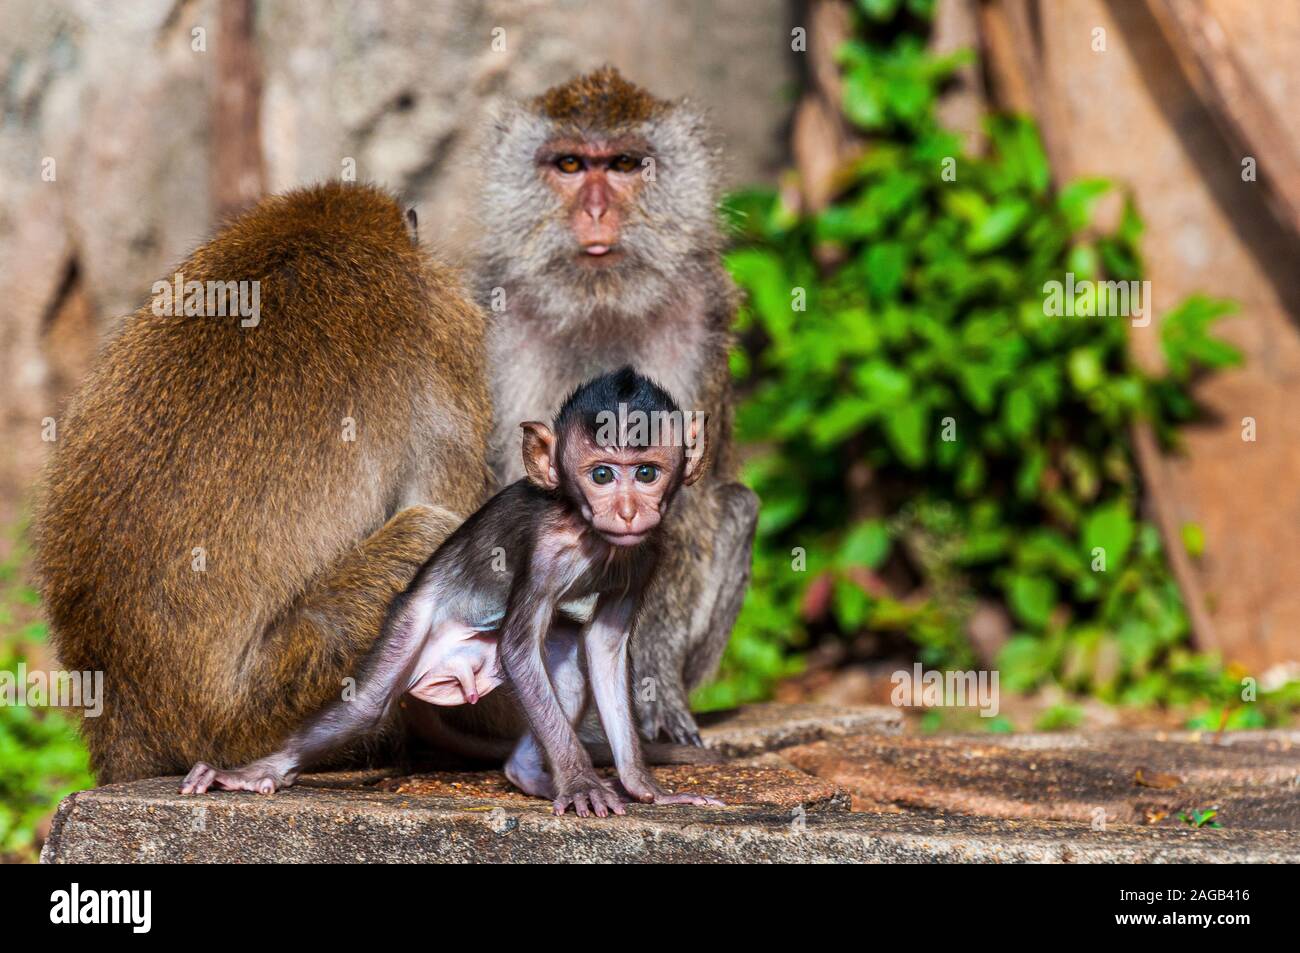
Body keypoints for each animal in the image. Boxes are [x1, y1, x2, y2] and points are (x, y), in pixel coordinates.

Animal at [180, 368, 722, 817]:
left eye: (647, 472)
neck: (589, 533)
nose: (628, 512)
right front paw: (582, 784)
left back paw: (527, 775)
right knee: (366, 704)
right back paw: (258, 771)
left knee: (566, 663)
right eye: (602, 474)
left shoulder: (646, 555)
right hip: (412, 616)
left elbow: (604, 648)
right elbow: (519, 648)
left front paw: (643, 787)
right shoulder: (545, 549)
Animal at [474, 66, 760, 746]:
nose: (597, 211)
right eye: (571, 164)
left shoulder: (696, 328)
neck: (600, 304)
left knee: (739, 507)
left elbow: (682, 507)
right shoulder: (496, 326)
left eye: (626, 164)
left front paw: (653, 689)